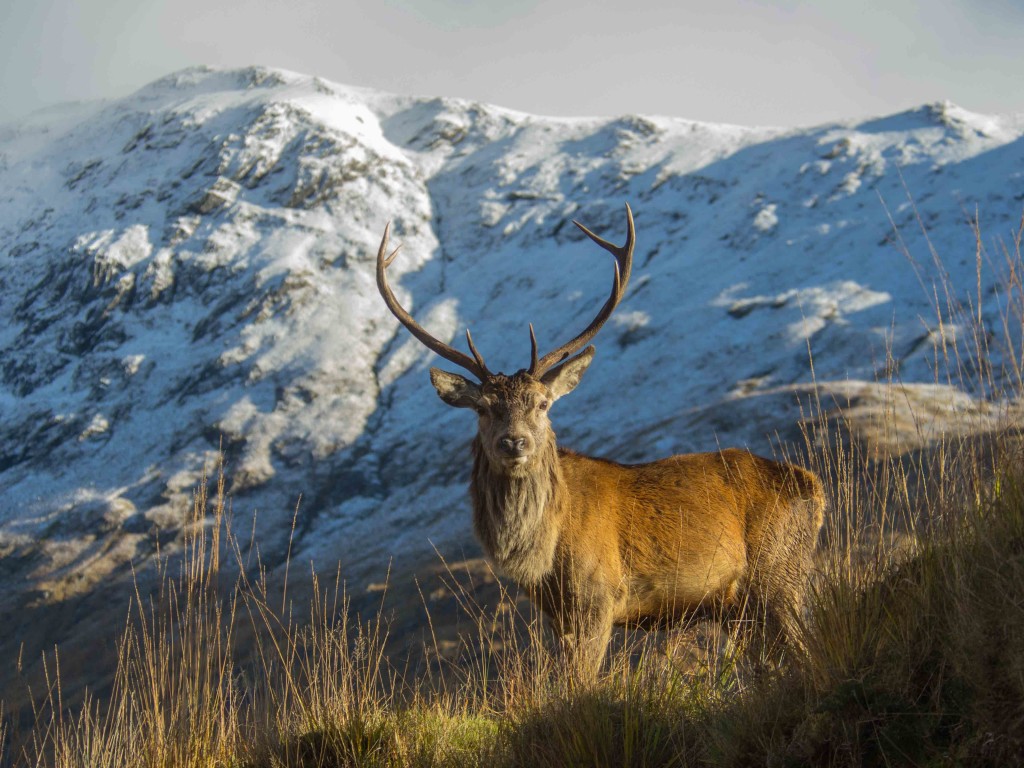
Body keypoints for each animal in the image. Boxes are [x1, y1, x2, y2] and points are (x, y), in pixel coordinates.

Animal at [375, 204, 826, 674]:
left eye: (542, 403)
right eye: (481, 407)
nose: (514, 443)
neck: (544, 553)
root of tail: (815, 488)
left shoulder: (598, 597)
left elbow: (582, 683)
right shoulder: (556, 614)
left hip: (780, 574)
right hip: (740, 606)